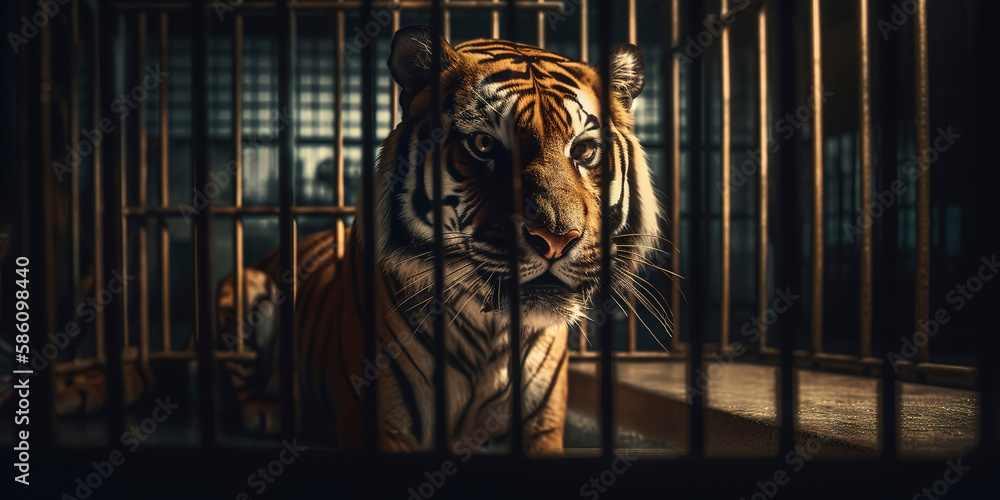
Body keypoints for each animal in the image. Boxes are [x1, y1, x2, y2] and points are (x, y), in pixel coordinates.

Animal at [215, 25, 662, 455]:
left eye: (585, 151)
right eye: (483, 144)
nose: (555, 238)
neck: (491, 333)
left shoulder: (542, 427)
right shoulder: (385, 425)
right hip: (245, 286)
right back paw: (266, 412)